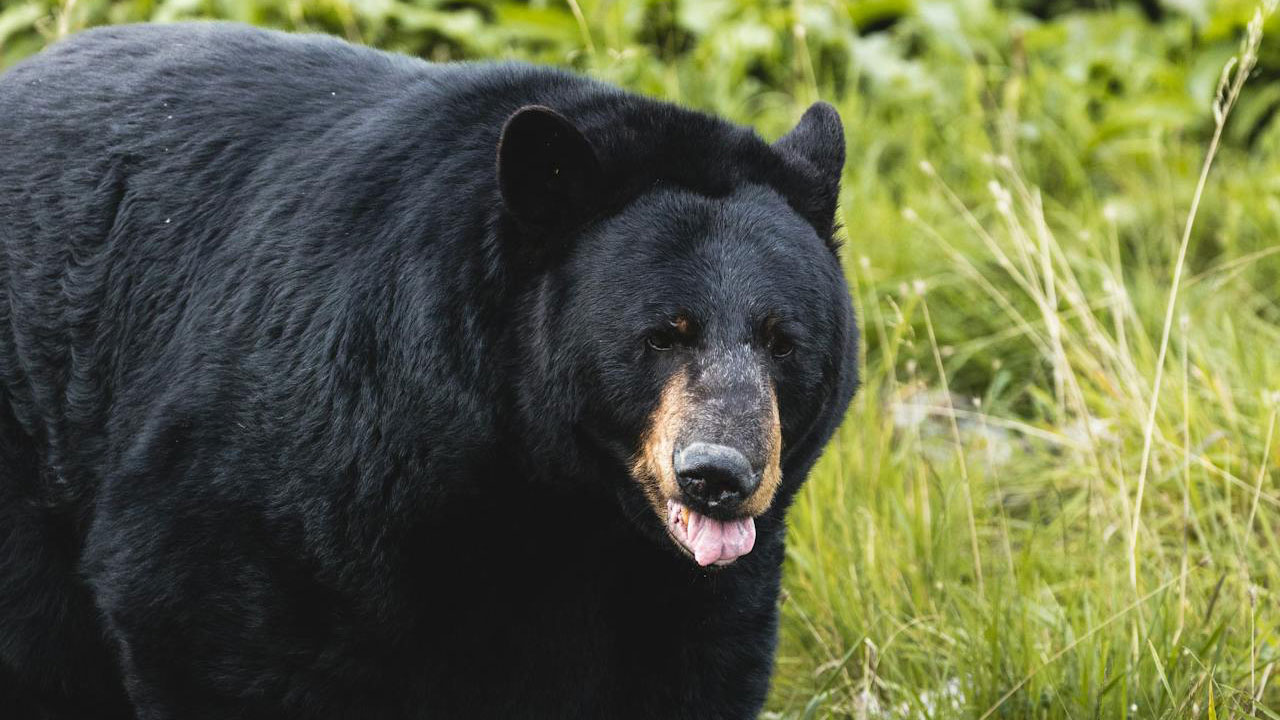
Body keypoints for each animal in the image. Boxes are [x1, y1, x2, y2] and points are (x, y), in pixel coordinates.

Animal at [0, 22, 859, 719]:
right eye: (660, 335)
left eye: (782, 341)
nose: (719, 474)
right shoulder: (310, 454)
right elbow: (200, 615)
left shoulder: (678, 582)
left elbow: (691, 665)